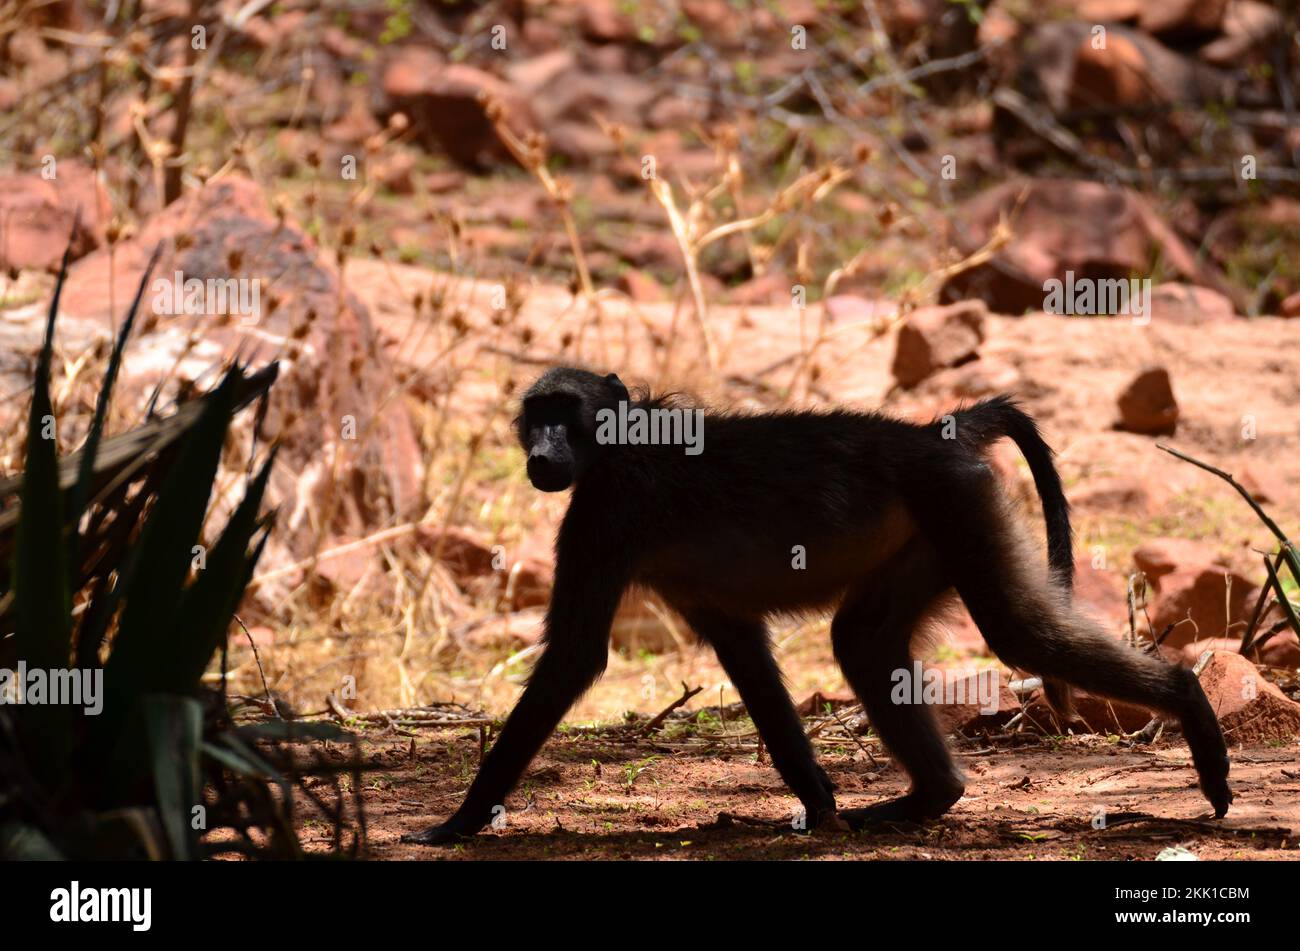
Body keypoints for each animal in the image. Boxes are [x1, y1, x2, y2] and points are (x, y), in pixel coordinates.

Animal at [403, 367, 1231, 845]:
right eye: (535, 412)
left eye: (562, 413)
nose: (541, 455)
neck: (621, 442)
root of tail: (934, 433)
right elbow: (747, 661)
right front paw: (819, 799)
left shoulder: (605, 512)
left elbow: (575, 654)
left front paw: (457, 821)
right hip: (938, 525)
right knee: (862, 641)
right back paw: (927, 798)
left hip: (957, 500)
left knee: (1015, 634)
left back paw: (1190, 706)